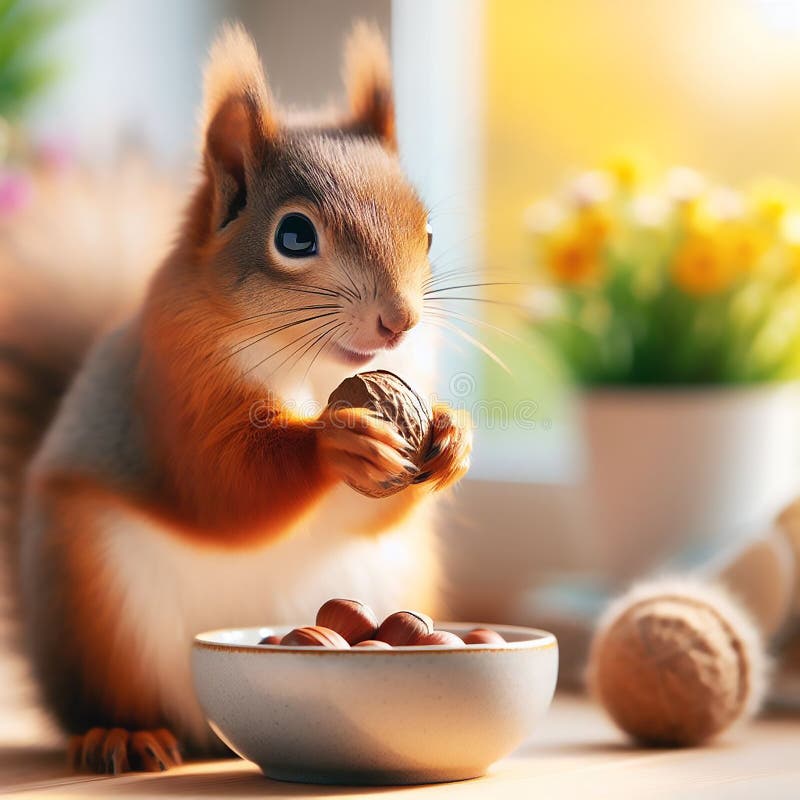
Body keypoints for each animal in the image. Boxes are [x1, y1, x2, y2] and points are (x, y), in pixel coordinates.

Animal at [5, 22, 472, 774]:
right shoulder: (173, 390)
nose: (399, 321)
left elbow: (377, 509)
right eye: (294, 235)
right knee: (111, 699)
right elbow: (223, 485)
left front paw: (456, 437)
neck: (313, 369)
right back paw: (122, 735)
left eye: (427, 234)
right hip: (99, 608)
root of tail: (206, 736)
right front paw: (336, 441)